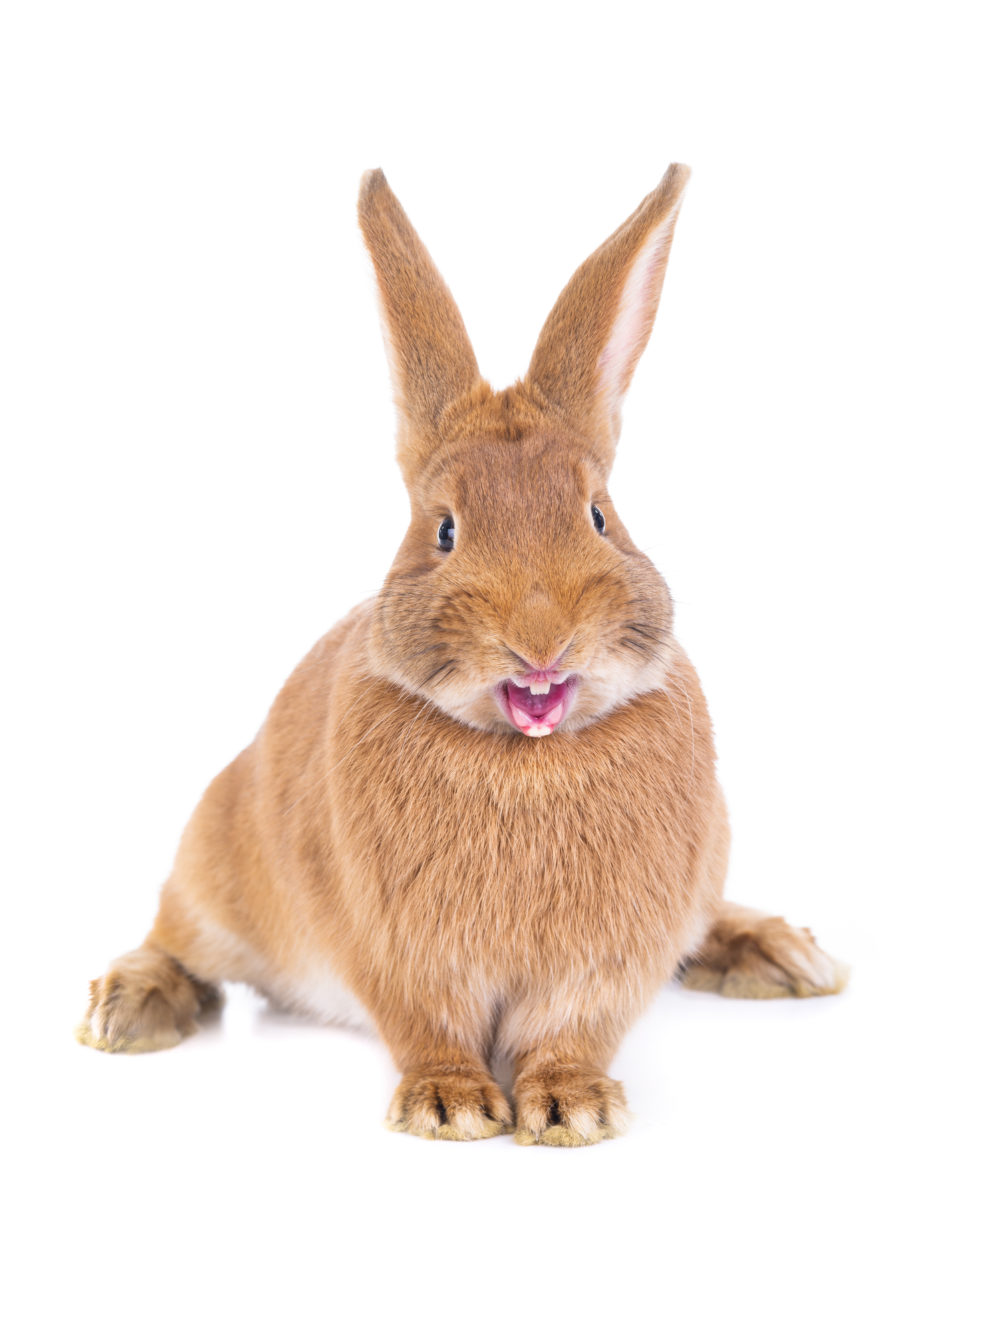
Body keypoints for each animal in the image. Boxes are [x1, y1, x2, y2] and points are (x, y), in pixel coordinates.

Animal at [77, 165, 846, 1146]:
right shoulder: (398, 952)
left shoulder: (602, 965)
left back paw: (782, 956)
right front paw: (451, 1106)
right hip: (215, 860)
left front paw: (573, 1107)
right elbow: (427, 1027)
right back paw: (128, 1010)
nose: (541, 636)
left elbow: (573, 1034)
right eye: (444, 530)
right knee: (179, 940)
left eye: (600, 515)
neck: (528, 757)